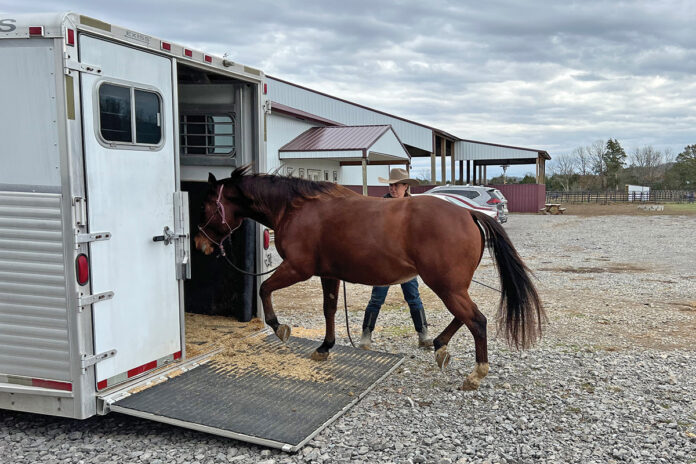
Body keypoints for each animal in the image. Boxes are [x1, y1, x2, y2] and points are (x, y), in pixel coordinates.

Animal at [194, 166, 545, 390]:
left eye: (208, 205)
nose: (200, 244)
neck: (297, 209)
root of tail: (468, 212)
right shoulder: (328, 274)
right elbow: (330, 309)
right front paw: (325, 347)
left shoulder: (298, 268)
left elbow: (265, 289)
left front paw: (279, 327)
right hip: (452, 286)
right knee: (465, 317)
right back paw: (439, 345)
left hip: (446, 286)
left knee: (477, 320)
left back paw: (475, 374)